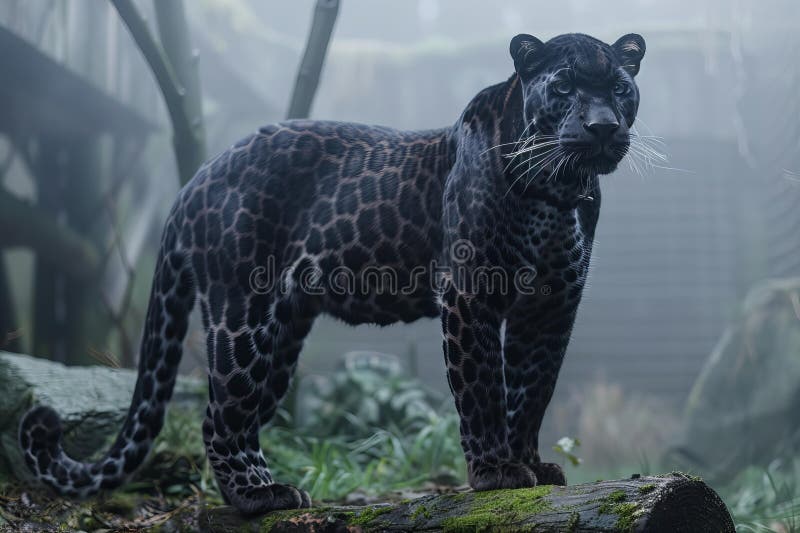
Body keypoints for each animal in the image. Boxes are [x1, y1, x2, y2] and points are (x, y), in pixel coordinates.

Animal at [19, 32, 646, 515]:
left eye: (620, 88)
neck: (559, 189)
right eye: (562, 87)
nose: (602, 127)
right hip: (241, 312)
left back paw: (273, 488)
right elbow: (484, 387)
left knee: (243, 412)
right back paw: (257, 498)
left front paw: (530, 464)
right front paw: (496, 473)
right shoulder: (471, 295)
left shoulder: (552, 304)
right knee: (219, 414)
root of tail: (197, 177)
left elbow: (532, 389)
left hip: (280, 336)